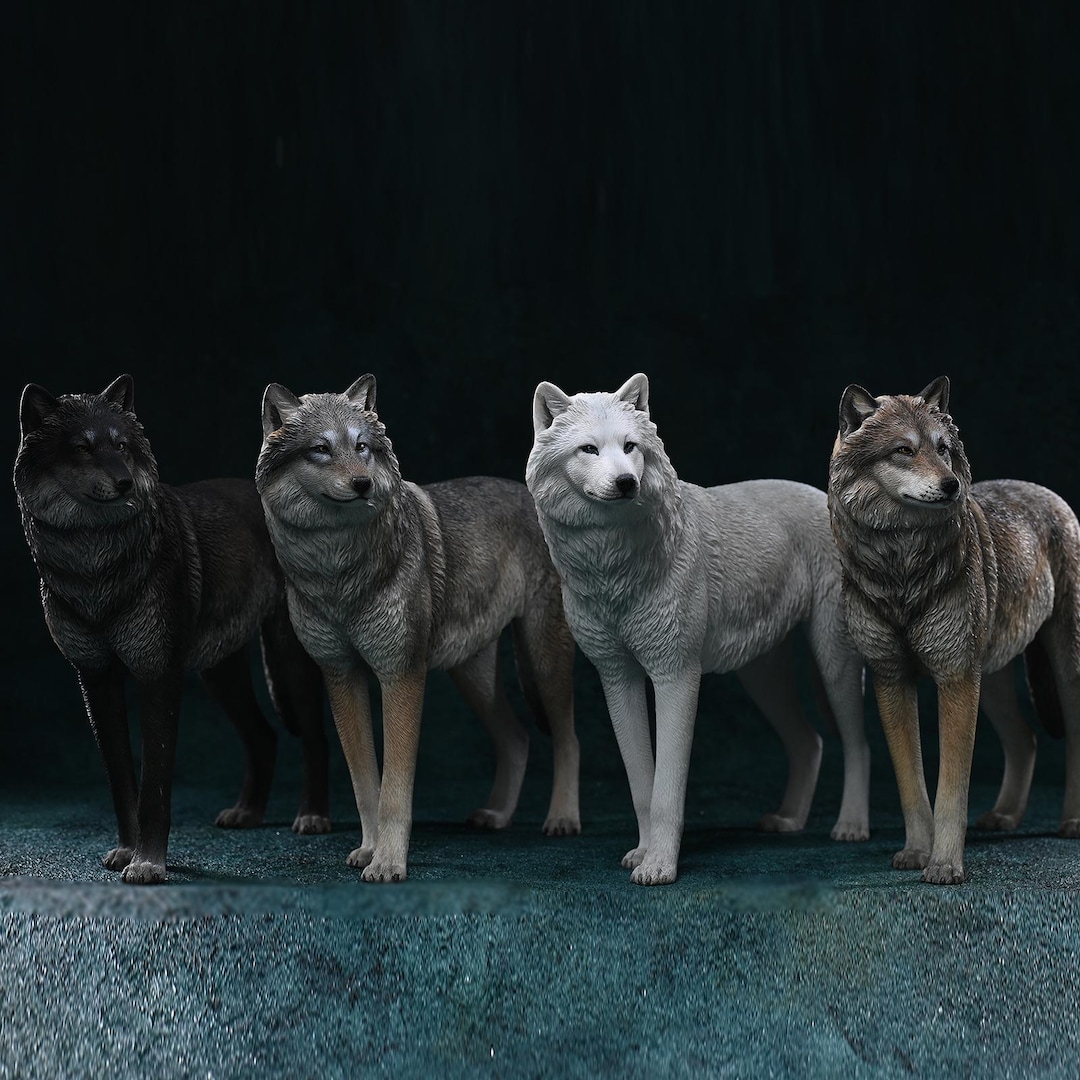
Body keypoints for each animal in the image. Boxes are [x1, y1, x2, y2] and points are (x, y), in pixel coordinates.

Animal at [12, 375, 331, 884]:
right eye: (82, 448)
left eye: (122, 445)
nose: (124, 481)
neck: (94, 564)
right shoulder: (97, 679)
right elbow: (121, 777)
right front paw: (126, 852)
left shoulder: (158, 676)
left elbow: (155, 784)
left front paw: (147, 864)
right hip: (219, 673)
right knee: (263, 736)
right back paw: (246, 814)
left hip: (288, 656)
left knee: (315, 736)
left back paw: (312, 817)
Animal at [255, 373, 580, 883]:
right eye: (321, 449)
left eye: (362, 447)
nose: (363, 483)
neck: (337, 573)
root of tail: (536, 499)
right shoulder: (342, 677)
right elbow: (365, 783)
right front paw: (369, 851)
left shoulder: (401, 675)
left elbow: (394, 787)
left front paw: (389, 863)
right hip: (473, 678)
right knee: (518, 738)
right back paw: (496, 816)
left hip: (543, 659)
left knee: (568, 737)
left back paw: (562, 819)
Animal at [525, 372, 871, 885]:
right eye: (589, 449)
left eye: (629, 447)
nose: (626, 482)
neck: (612, 568)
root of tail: (823, 496)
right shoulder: (618, 678)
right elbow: (642, 786)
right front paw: (643, 853)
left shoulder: (676, 676)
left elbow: (667, 790)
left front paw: (660, 867)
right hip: (762, 678)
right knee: (810, 742)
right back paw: (788, 821)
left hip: (834, 664)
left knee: (858, 744)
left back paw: (850, 827)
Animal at [828, 375, 1080, 884]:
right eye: (904, 450)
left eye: (943, 449)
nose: (952, 484)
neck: (901, 571)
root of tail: (1050, 494)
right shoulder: (894, 679)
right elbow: (912, 783)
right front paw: (916, 853)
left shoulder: (955, 678)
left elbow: (950, 787)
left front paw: (944, 865)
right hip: (993, 676)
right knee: (1025, 740)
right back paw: (1003, 816)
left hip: (1062, 668)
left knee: (1072, 738)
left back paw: (1072, 823)